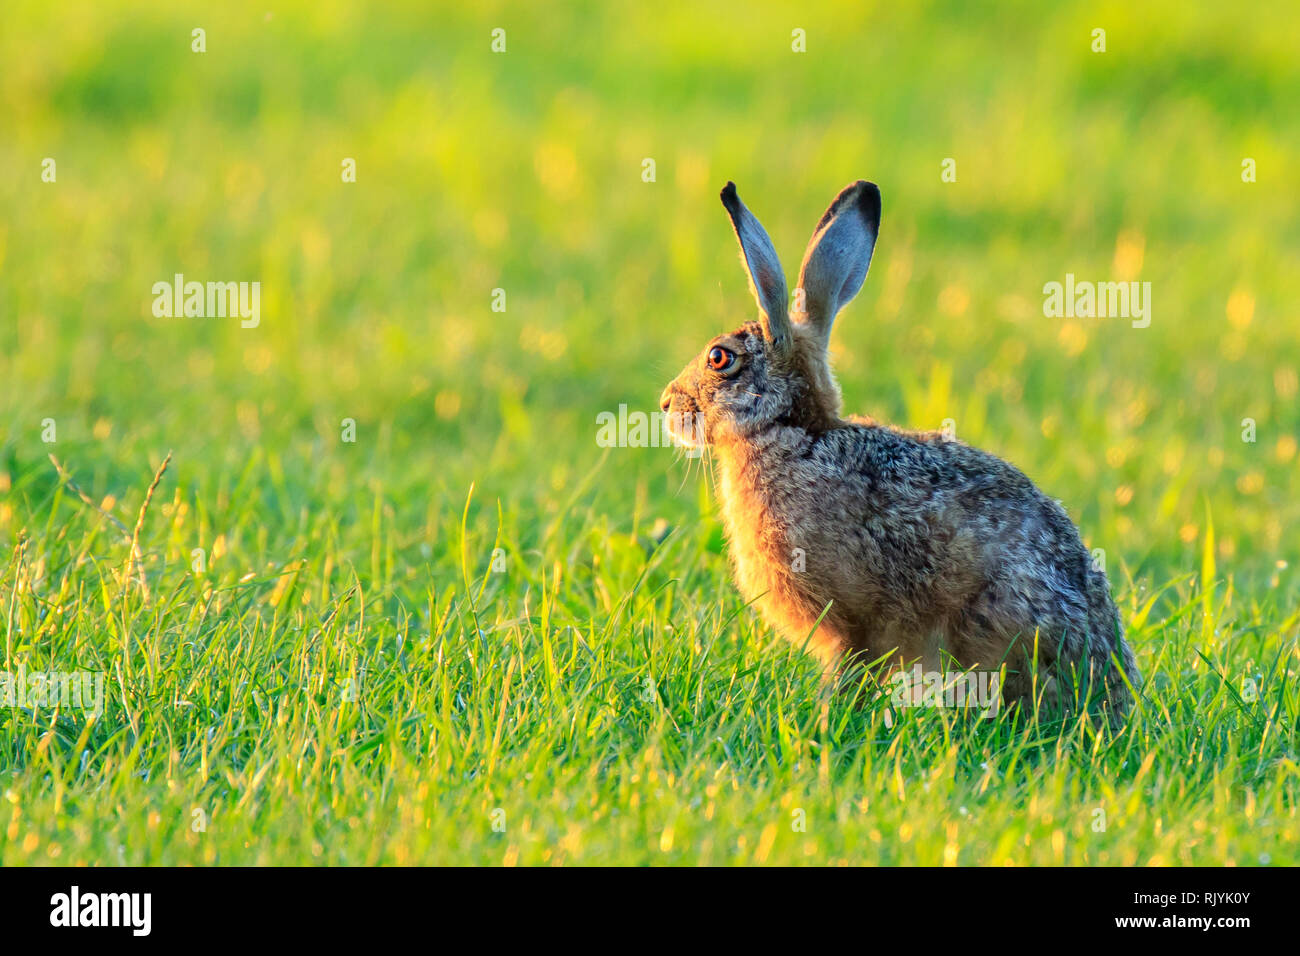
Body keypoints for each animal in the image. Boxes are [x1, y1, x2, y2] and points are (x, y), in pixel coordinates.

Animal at [659, 180, 1140, 719]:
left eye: (720, 358)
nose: (666, 403)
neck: (792, 431)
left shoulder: (854, 622)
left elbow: (850, 670)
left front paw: (828, 716)